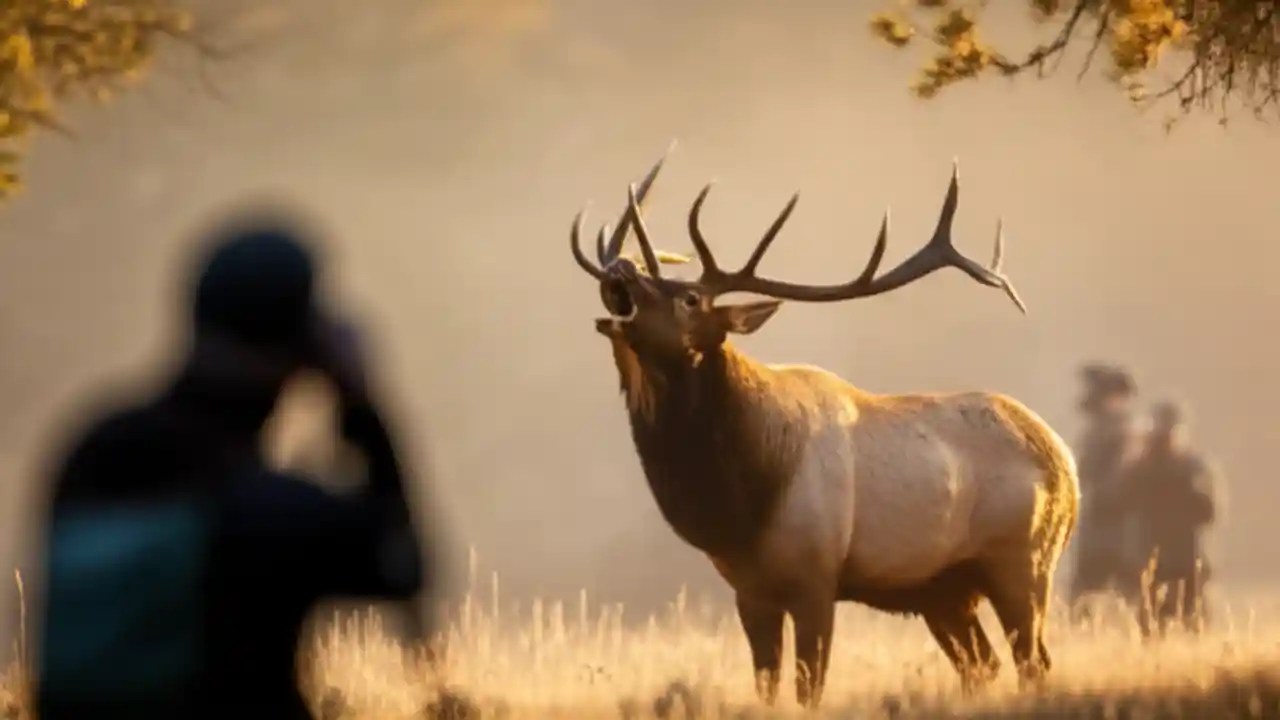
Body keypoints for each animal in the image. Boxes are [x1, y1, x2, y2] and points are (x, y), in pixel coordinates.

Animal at [568, 153, 1080, 708]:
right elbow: (766, 686)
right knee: (982, 665)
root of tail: (1067, 464)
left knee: (1033, 662)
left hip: (1023, 562)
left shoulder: (816, 578)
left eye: (690, 298)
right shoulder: (749, 590)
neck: (742, 503)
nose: (622, 267)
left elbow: (808, 687)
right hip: (941, 589)